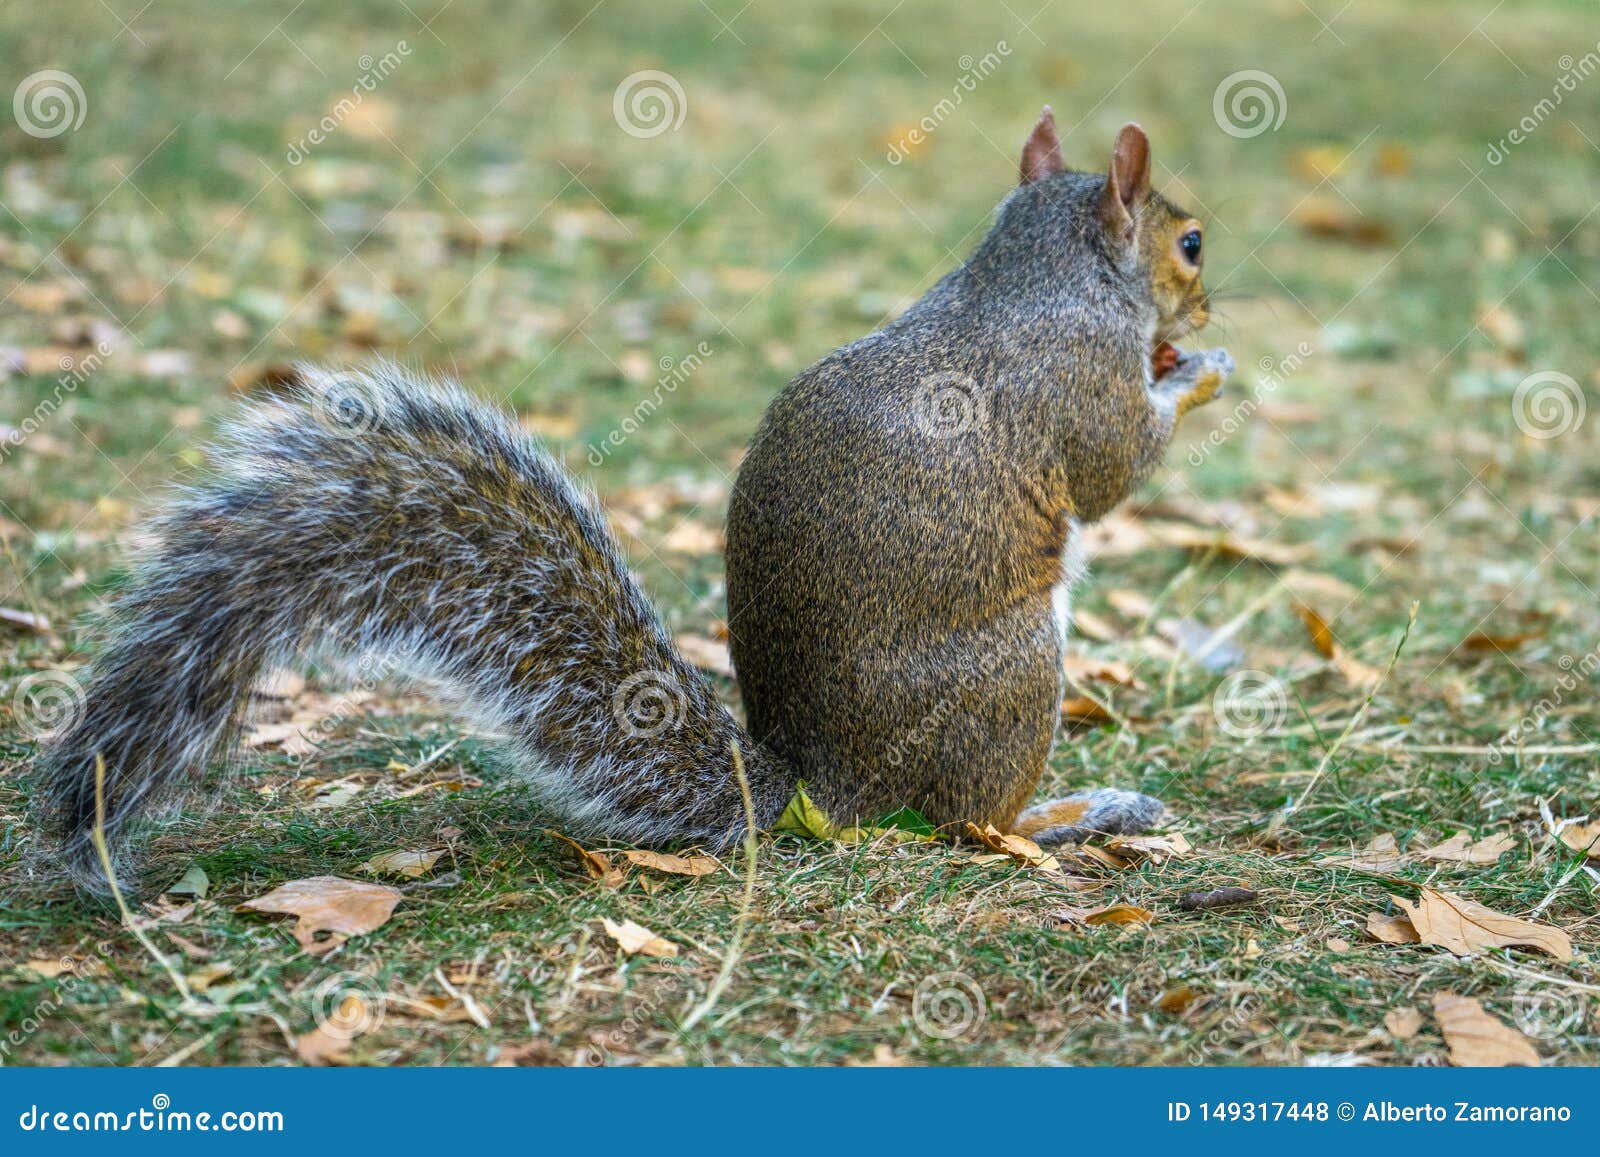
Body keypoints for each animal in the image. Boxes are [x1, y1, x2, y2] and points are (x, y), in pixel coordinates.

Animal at [41, 109, 1232, 891]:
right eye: (1189, 241)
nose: (1210, 302)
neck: (1044, 275)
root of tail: (821, 788)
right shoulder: (1077, 383)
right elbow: (1114, 465)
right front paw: (1197, 373)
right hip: (1013, 673)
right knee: (967, 821)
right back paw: (1068, 813)